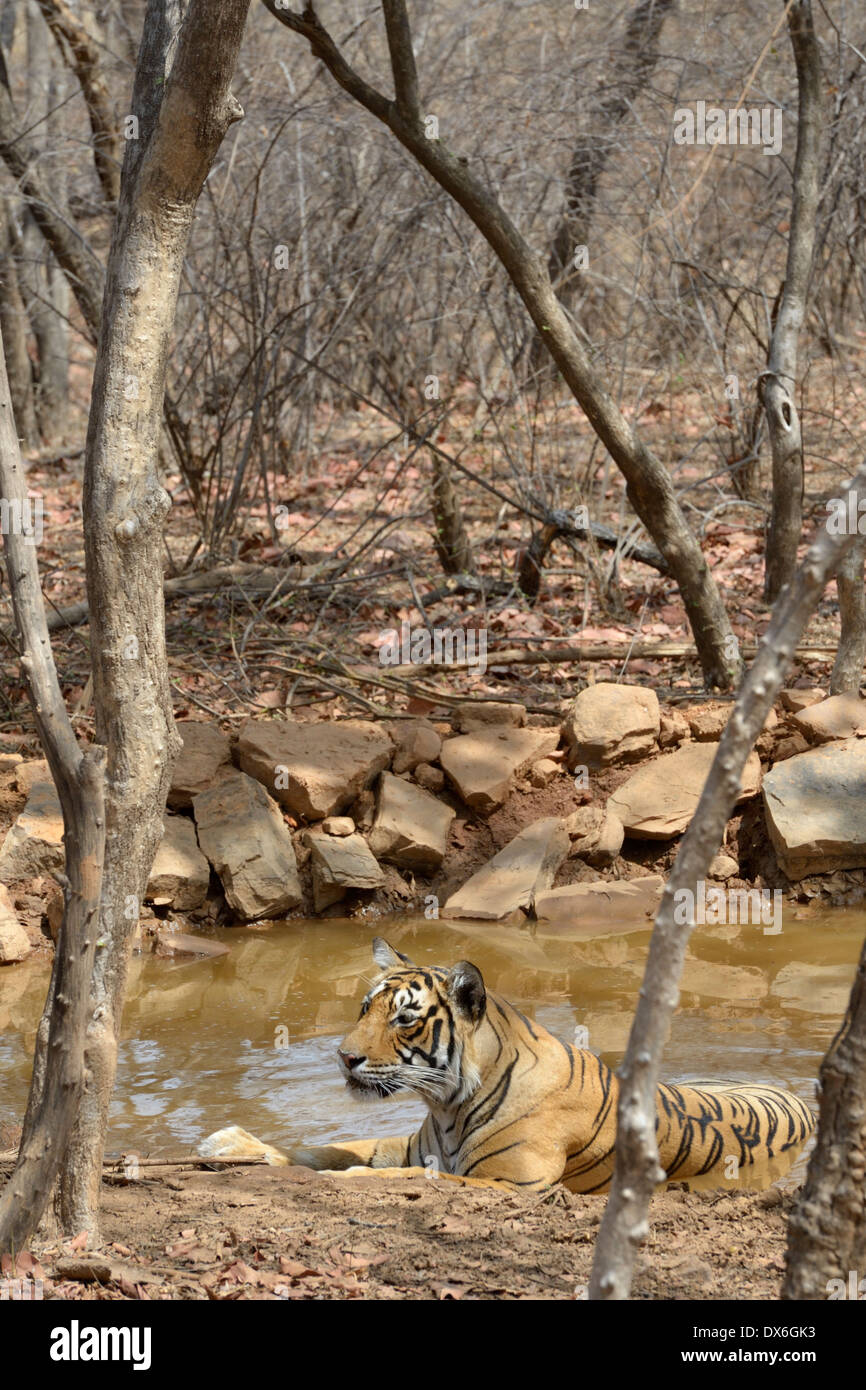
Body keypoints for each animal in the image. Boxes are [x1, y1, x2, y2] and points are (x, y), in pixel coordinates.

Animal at [199, 937, 816, 1192]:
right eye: (364, 1008)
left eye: (404, 1019)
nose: (344, 1057)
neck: (447, 1107)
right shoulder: (408, 1145)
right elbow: (324, 1149)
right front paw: (231, 1145)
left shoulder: (510, 1181)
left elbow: (400, 1176)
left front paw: (348, 1181)